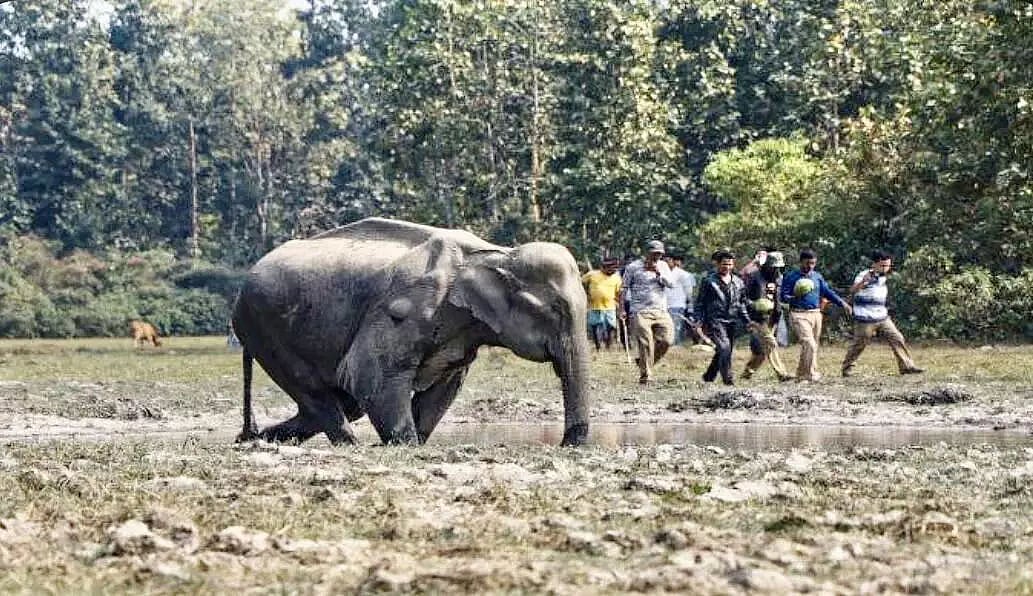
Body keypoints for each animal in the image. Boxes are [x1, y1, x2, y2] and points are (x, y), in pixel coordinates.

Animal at [231, 217, 590, 446]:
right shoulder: (408, 307)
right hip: (265, 330)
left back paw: (256, 439)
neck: (497, 253)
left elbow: (444, 388)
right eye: (555, 310)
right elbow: (369, 375)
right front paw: (406, 443)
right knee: (319, 393)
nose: (567, 443)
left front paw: (414, 440)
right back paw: (347, 444)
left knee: (340, 404)